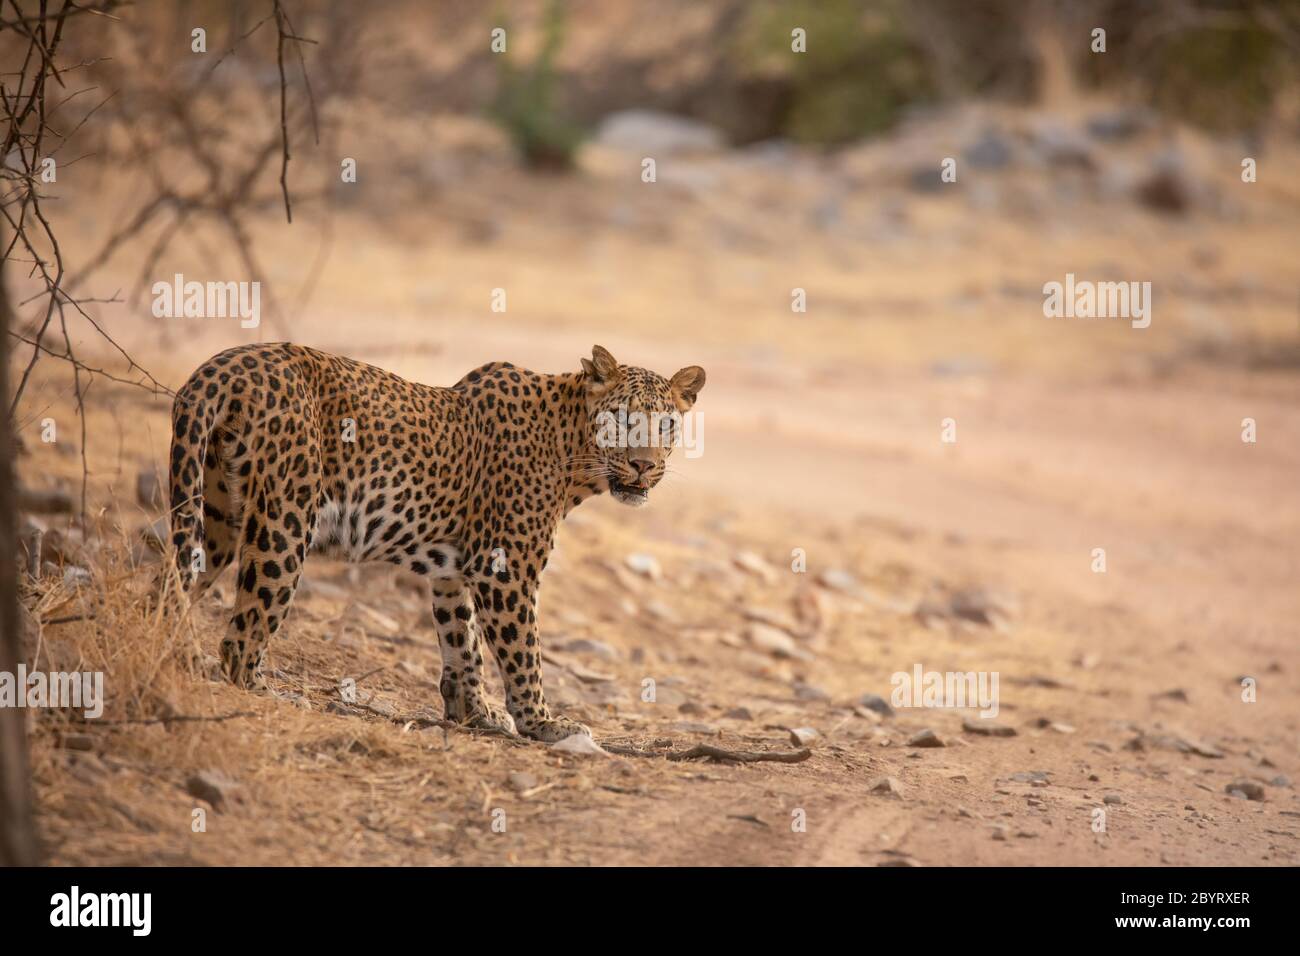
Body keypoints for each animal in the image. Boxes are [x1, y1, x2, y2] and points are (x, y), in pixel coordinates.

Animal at [167, 342, 705, 742]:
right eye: (622, 419)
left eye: (666, 424)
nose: (643, 465)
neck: (572, 450)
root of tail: (227, 362)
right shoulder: (506, 570)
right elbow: (523, 651)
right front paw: (543, 723)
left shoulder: (455, 570)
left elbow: (462, 641)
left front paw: (476, 712)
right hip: (286, 518)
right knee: (242, 633)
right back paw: (270, 693)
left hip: (216, 513)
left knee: (169, 587)